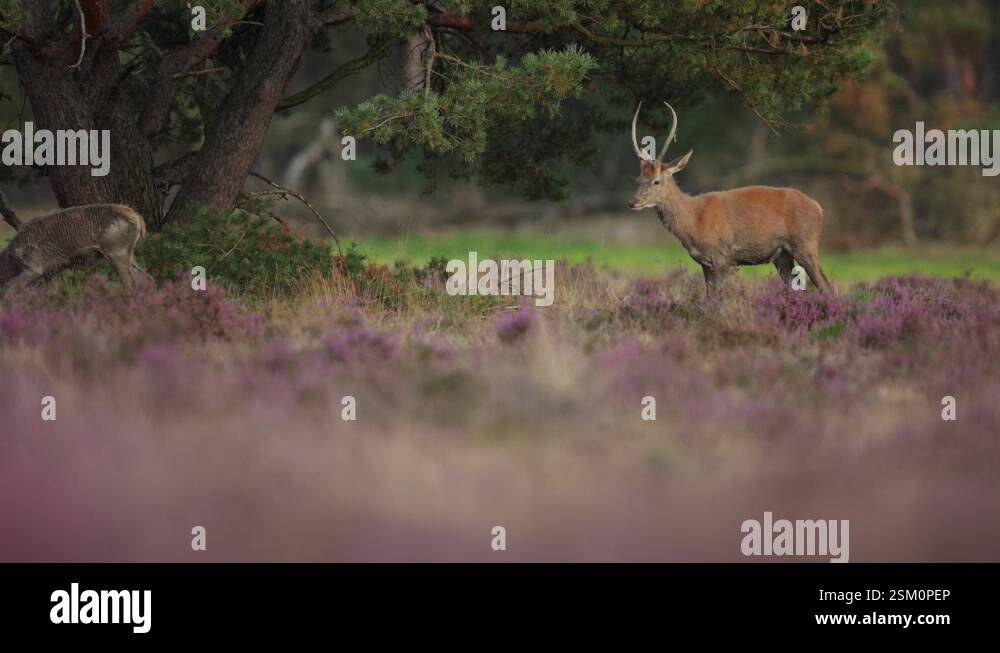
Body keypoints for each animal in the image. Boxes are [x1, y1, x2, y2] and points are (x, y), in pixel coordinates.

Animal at [0, 199, 152, 296]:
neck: (13, 260)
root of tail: (138, 218)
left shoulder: (35, 266)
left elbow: (8, 292)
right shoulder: (51, 272)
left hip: (116, 250)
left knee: (131, 280)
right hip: (126, 252)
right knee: (145, 276)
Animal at [628, 101, 833, 293]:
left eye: (656, 181)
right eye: (638, 179)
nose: (632, 202)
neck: (694, 222)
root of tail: (818, 207)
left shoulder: (722, 257)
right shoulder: (705, 262)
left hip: (806, 244)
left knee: (826, 286)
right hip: (783, 255)